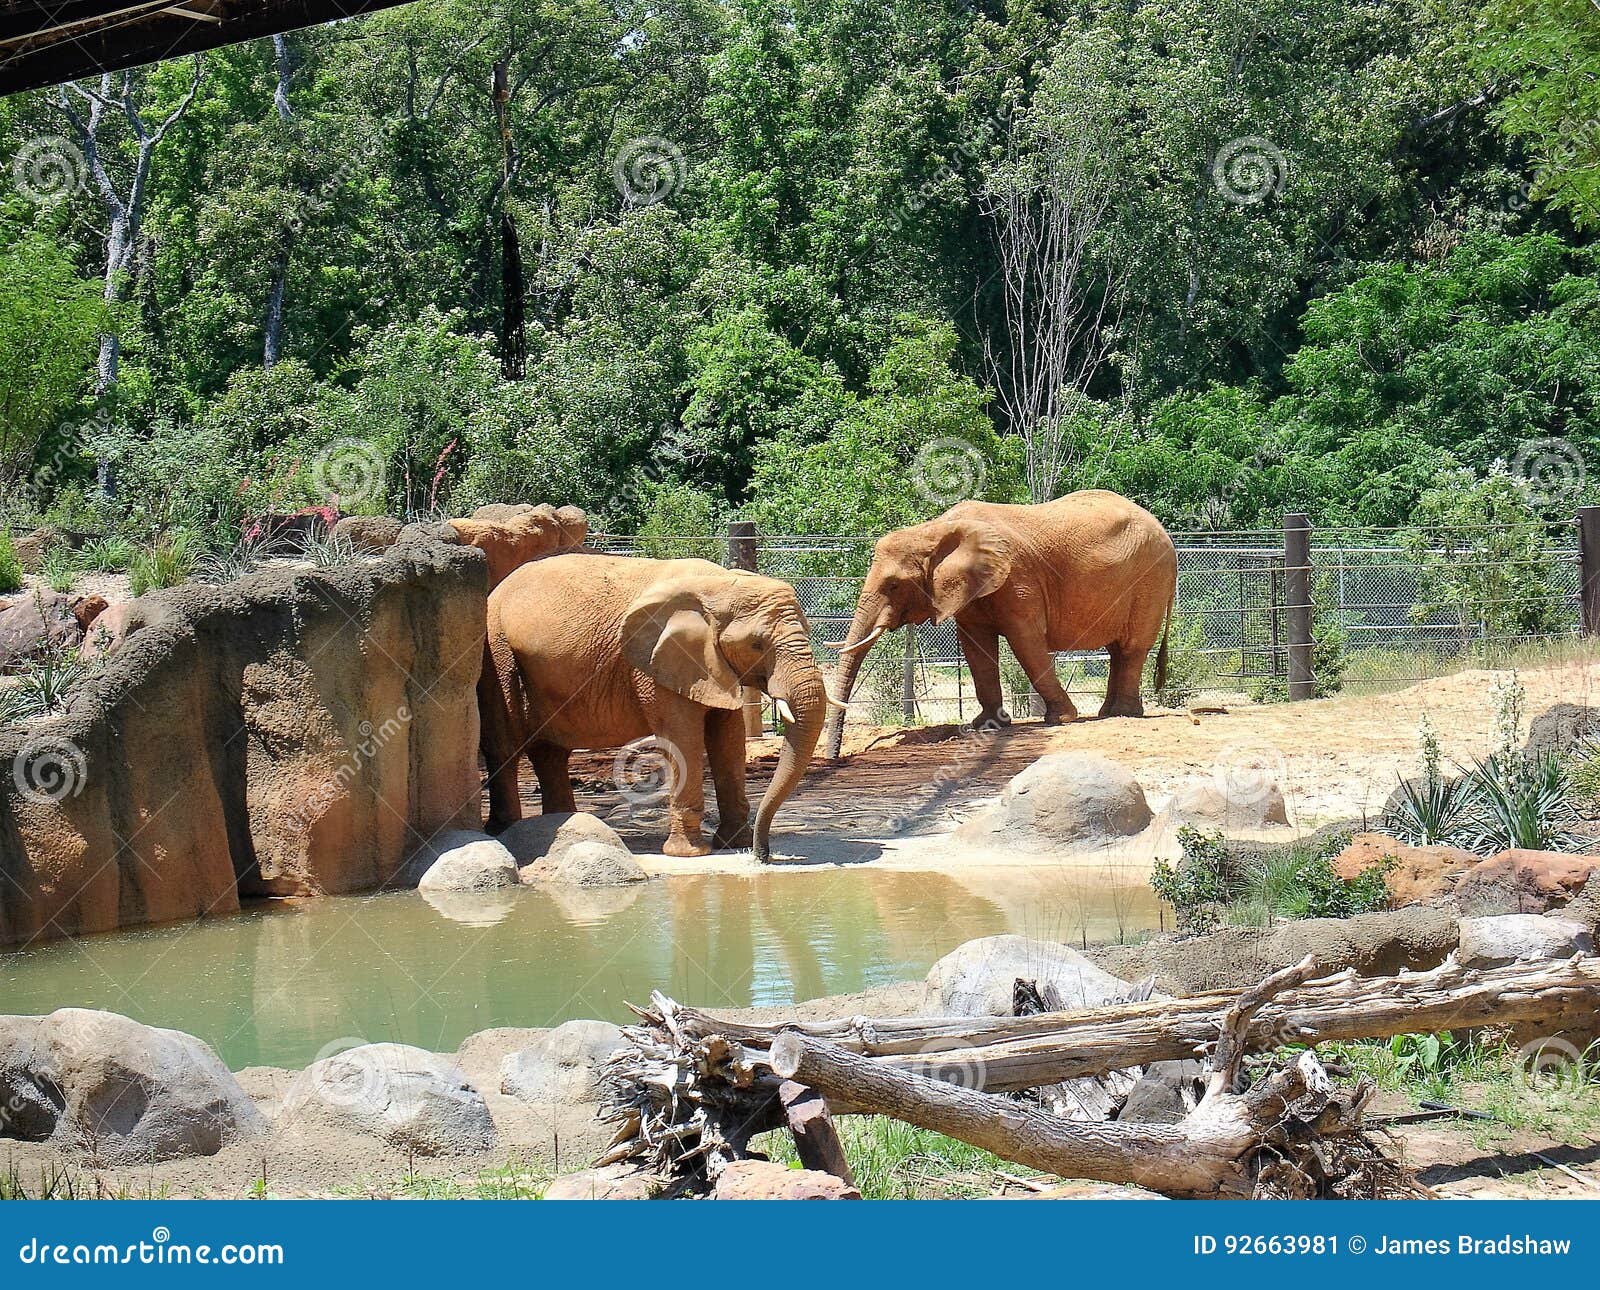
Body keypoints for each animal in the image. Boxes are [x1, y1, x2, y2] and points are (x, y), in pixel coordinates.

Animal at [480, 552, 837, 861]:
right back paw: (502, 831)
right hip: (498, 653)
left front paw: (734, 844)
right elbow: (683, 736)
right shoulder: (657, 667)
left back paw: (561, 822)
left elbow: (729, 737)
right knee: (506, 746)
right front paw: (690, 854)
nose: (763, 856)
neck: (720, 584)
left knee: (550, 752)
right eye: (756, 645)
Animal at [823, 490, 1177, 757]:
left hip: (1150, 580)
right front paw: (984, 726)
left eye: (894, 585)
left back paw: (1121, 714)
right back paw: (1110, 713)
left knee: (1132, 648)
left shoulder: (1018, 580)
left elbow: (1025, 641)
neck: (935, 531)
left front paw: (1061, 719)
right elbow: (976, 649)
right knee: (1118, 650)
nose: (836, 757)